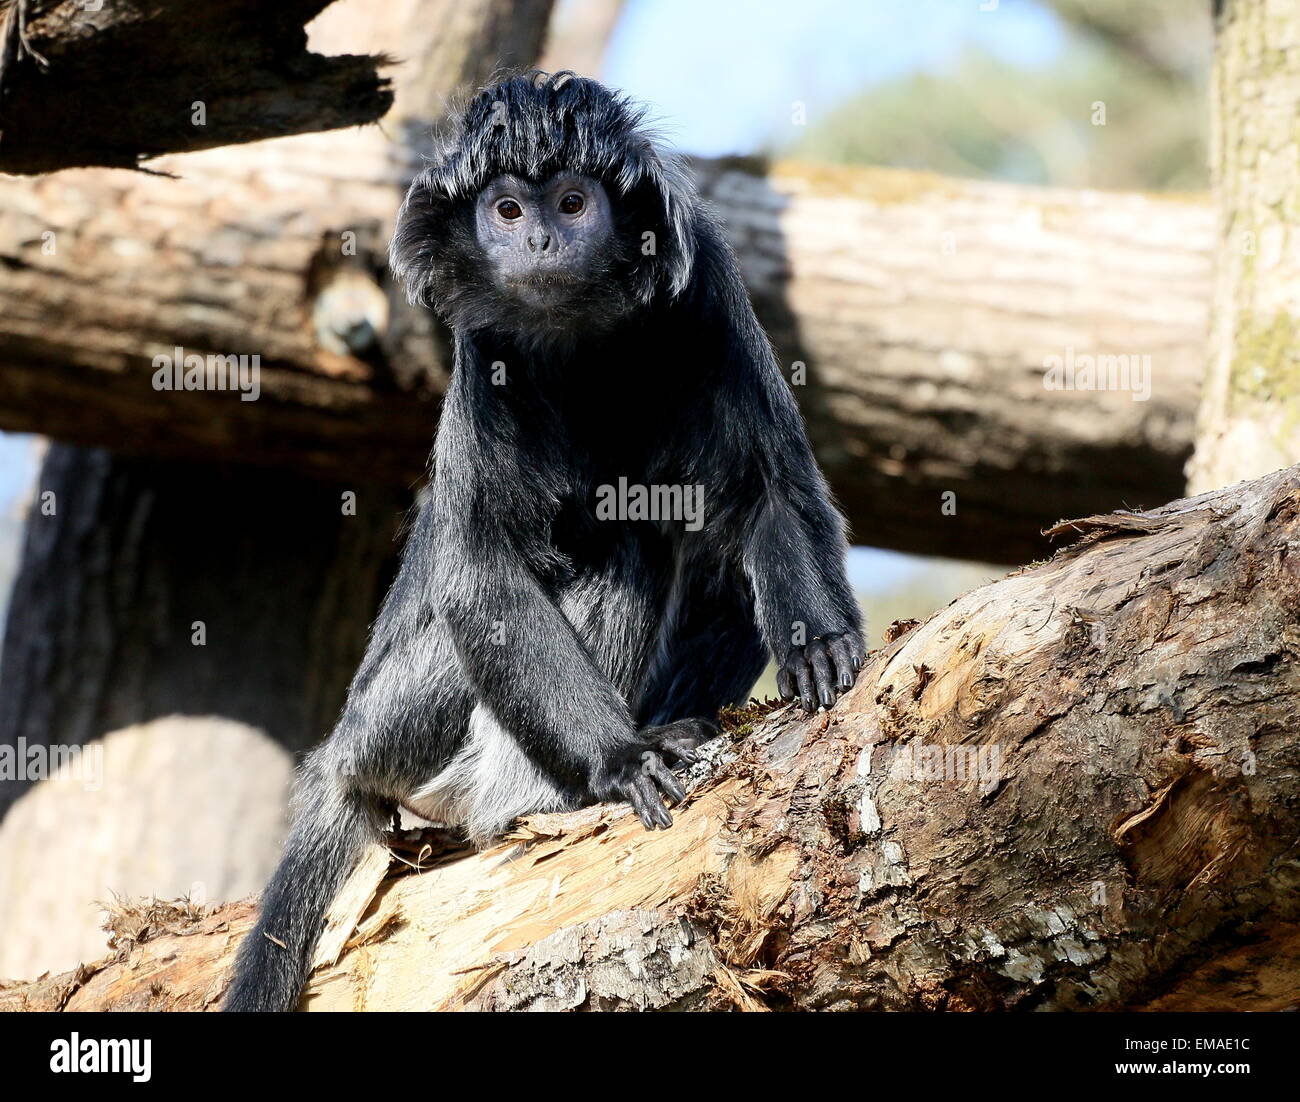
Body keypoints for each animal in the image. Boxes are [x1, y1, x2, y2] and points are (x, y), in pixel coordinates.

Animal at [223, 71, 864, 1013]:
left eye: (571, 202)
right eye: (507, 210)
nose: (540, 240)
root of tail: (337, 755)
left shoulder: (705, 284)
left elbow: (769, 486)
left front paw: (817, 642)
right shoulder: (483, 349)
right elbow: (483, 576)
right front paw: (619, 760)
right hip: (398, 721)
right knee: (615, 552)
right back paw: (537, 804)